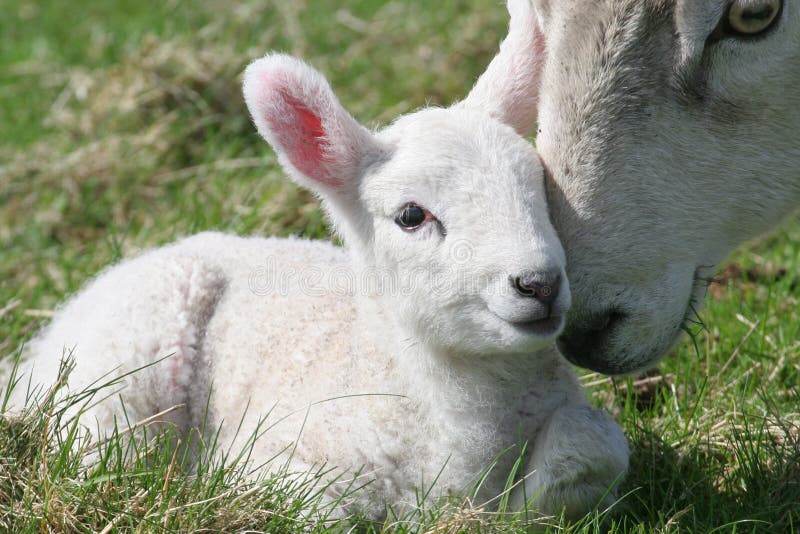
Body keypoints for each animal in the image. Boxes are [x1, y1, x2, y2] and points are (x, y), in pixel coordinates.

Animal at [8, 1, 628, 519]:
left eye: (540, 187)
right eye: (411, 215)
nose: (539, 284)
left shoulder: (581, 439)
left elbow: (593, 450)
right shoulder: (276, 467)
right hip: (121, 375)